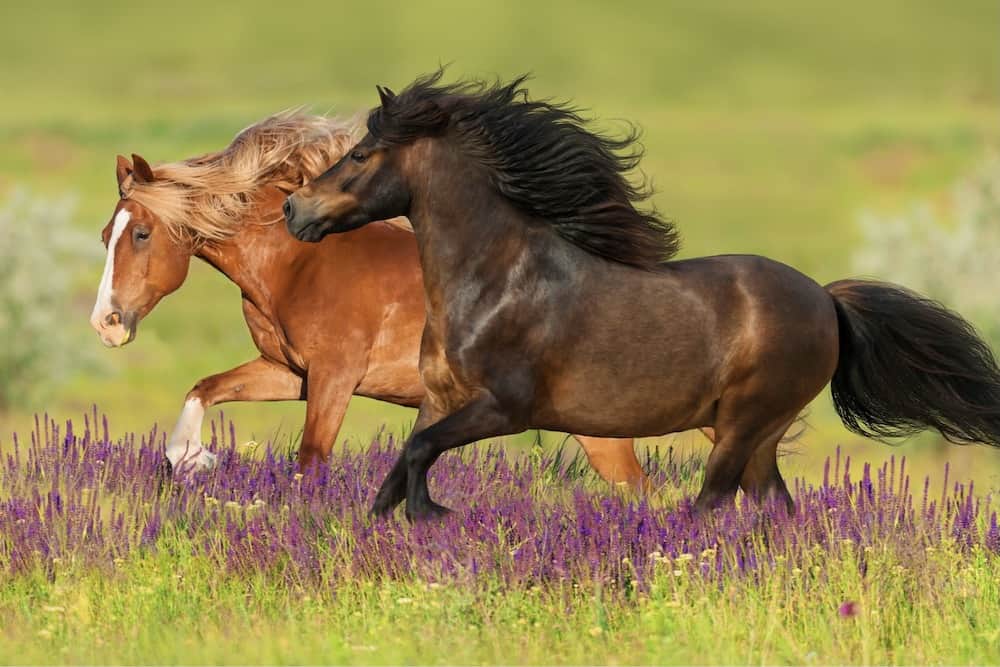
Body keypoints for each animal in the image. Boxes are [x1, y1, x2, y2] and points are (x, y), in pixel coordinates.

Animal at [88, 111, 651, 488]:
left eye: (141, 233)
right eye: (104, 235)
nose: (106, 323)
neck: (297, 264)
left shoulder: (335, 376)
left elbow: (311, 459)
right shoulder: (290, 372)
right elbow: (204, 388)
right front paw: (191, 457)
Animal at [283, 71, 1000, 520]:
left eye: (362, 155)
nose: (295, 209)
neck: (493, 283)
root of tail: (826, 300)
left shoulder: (505, 408)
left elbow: (416, 457)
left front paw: (434, 513)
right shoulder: (438, 399)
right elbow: (397, 469)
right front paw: (384, 530)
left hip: (743, 420)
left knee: (713, 502)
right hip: (762, 432)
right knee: (775, 507)